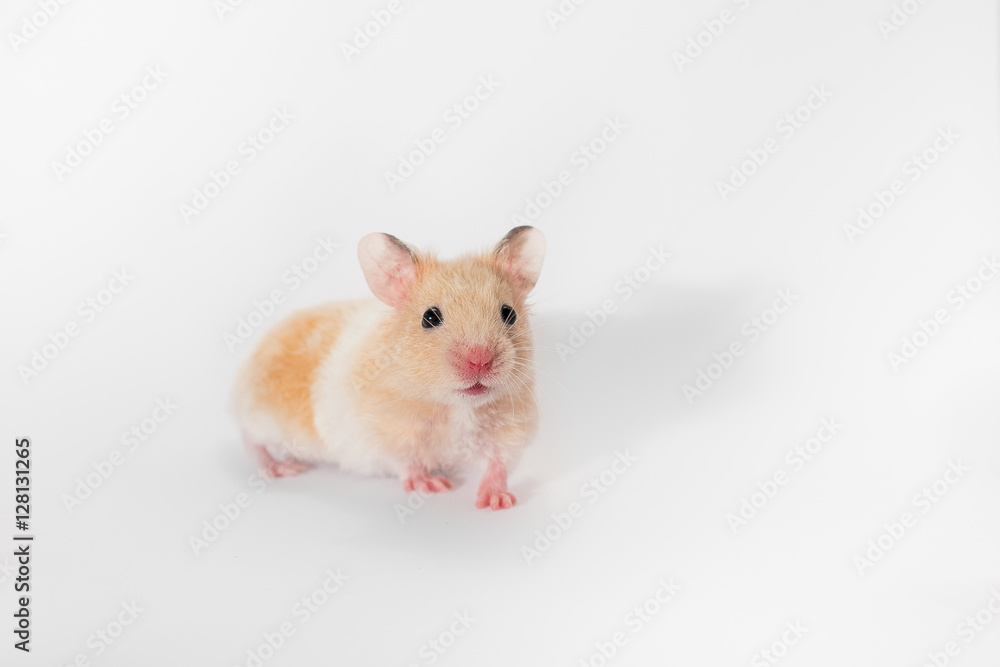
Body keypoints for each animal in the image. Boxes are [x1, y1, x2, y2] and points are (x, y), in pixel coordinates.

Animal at [232, 226, 546, 510]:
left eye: (509, 313)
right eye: (430, 317)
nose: (480, 360)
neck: (457, 407)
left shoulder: (510, 429)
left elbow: (499, 463)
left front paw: (498, 502)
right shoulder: (386, 432)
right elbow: (406, 461)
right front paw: (432, 485)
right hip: (265, 414)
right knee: (249, 438)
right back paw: (280, 468)